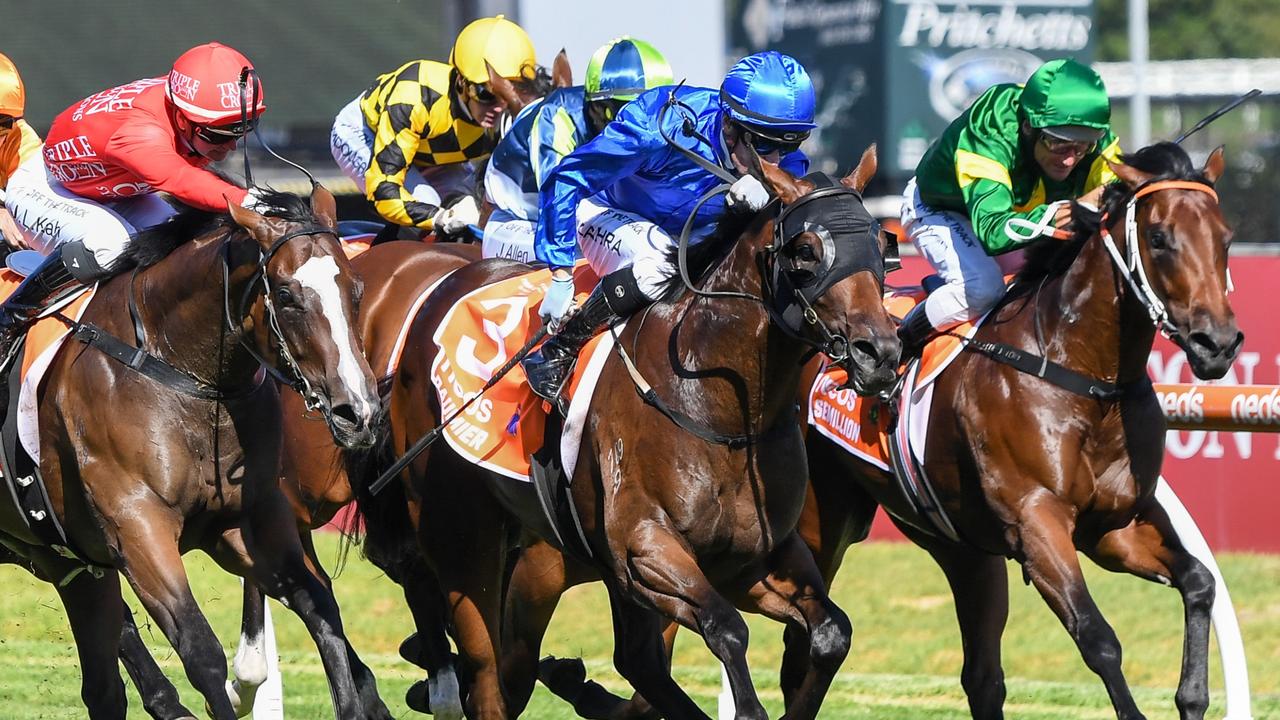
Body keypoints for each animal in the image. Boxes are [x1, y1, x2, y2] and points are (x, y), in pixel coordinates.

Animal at [0, 187, 390, 719]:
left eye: (356, 290)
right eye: (286, 296)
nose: (360, 412)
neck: (183, 371)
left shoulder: (246, 521)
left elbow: (320, 608)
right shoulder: (137, 527)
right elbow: (201, 650)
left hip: (60, 557)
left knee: (104, 682)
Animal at [356, 146, 902, 719]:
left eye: (879, 244)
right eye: (806, 251)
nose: (880, 353)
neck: (715, 409)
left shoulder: (751, 558)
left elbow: (832, 632)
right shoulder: (645, 548)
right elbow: (727, 629)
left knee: (621, 662)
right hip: (462, 536)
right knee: (488, 672)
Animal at [788, 142, 1241, 720]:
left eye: (1225, 238)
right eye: (1159, 239)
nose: (1217, 344)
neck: (1081, 374)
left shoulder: (1115, 526)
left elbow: (1200, 581)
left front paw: (1192, 695)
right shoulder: (1037, 522)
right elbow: (1098, 637)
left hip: (957, 542)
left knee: (981, 676)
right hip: (820, 520)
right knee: (800, 642)